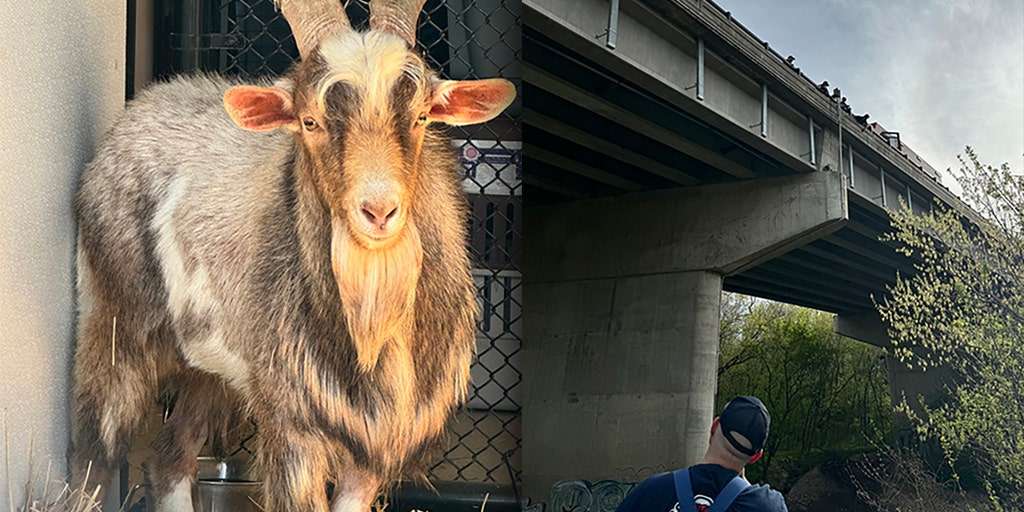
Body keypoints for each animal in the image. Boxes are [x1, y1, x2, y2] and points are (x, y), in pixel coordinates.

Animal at [68, 0, 516, 509]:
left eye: (421, 117)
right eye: (309, 121)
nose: (379, 211)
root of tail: (140, 107)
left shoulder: (373, 446)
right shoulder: (292, 425)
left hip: (211, 365)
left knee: (171, 455)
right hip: (114, 322)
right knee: (95, 450)